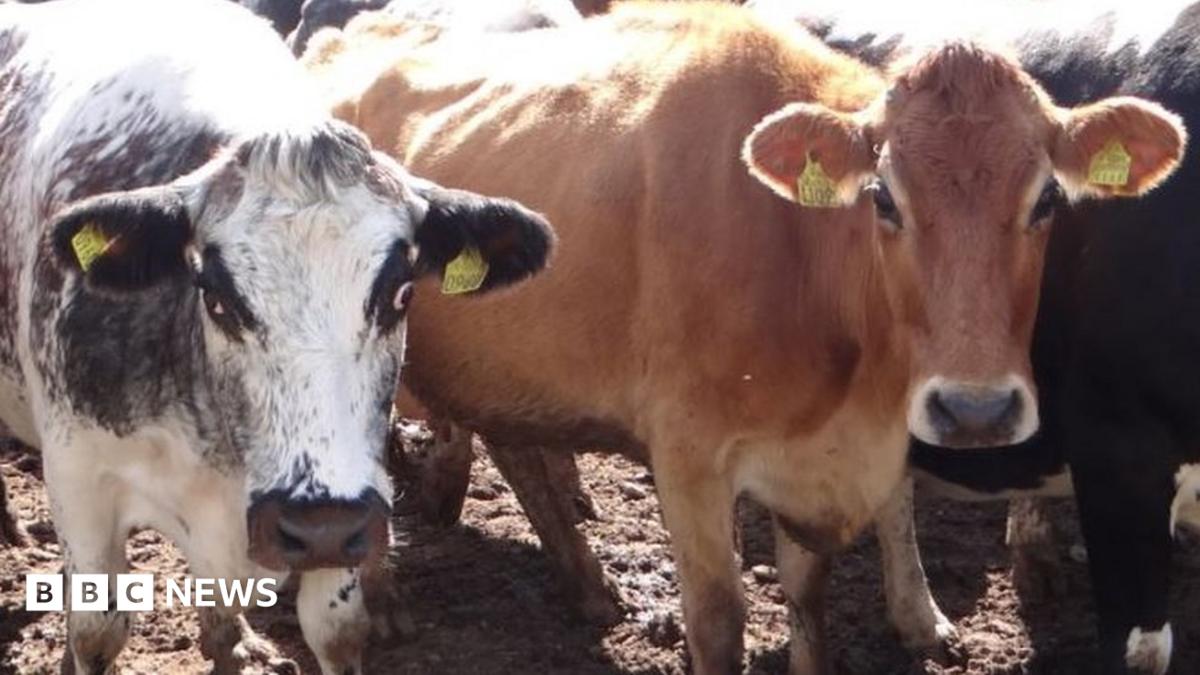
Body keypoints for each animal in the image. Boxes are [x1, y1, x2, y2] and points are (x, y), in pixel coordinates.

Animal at [0, 0, 553, 673]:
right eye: (214, 294)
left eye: (401, 293)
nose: (316, 525)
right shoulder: (81, 487)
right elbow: (96, 632)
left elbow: (337, 631)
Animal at [303, 3, 1186, 671]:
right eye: (883, 198)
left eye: (1047, 200)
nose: (976, 412)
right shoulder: (688, 457)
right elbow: (720, 623)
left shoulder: (812, 463)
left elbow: (806, 592)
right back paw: (381, 597)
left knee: (517, 448)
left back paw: (583, 582)